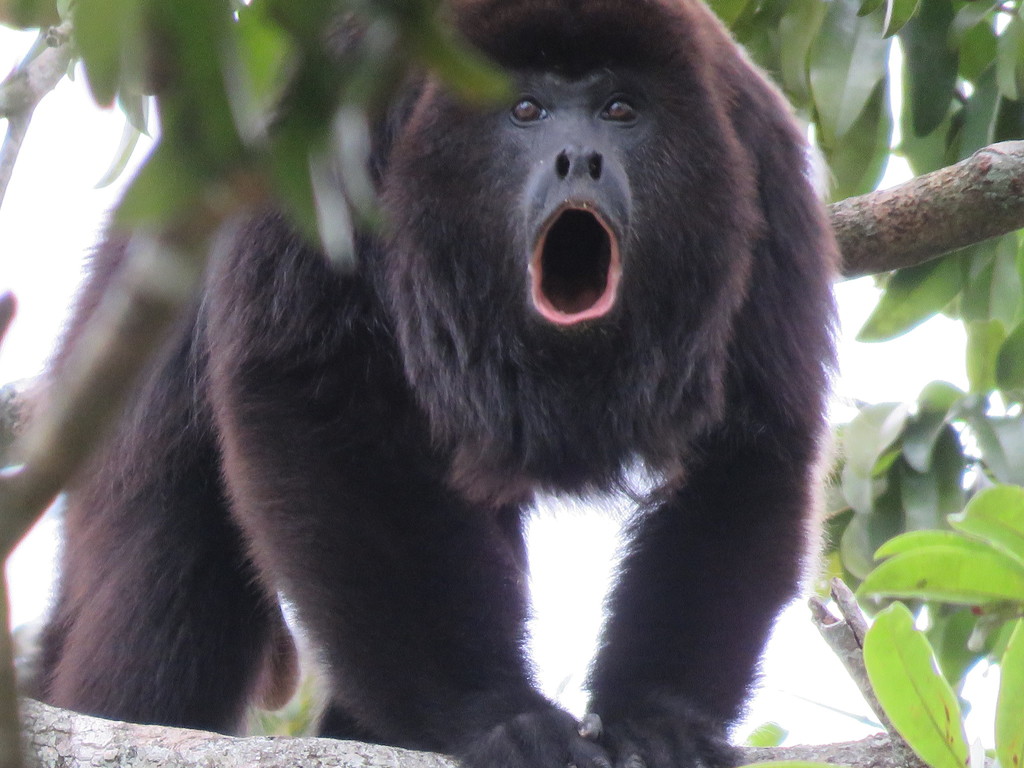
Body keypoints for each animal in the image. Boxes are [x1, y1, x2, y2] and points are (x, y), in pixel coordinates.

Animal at [38, 1, 838, 767]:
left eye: (619, 109)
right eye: (525, 110)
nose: (580, 159)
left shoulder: (764, 160)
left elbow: (750, 440)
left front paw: (659, 719)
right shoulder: (341, 123)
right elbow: (315, 397)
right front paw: (496, 714)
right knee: (171, 597)